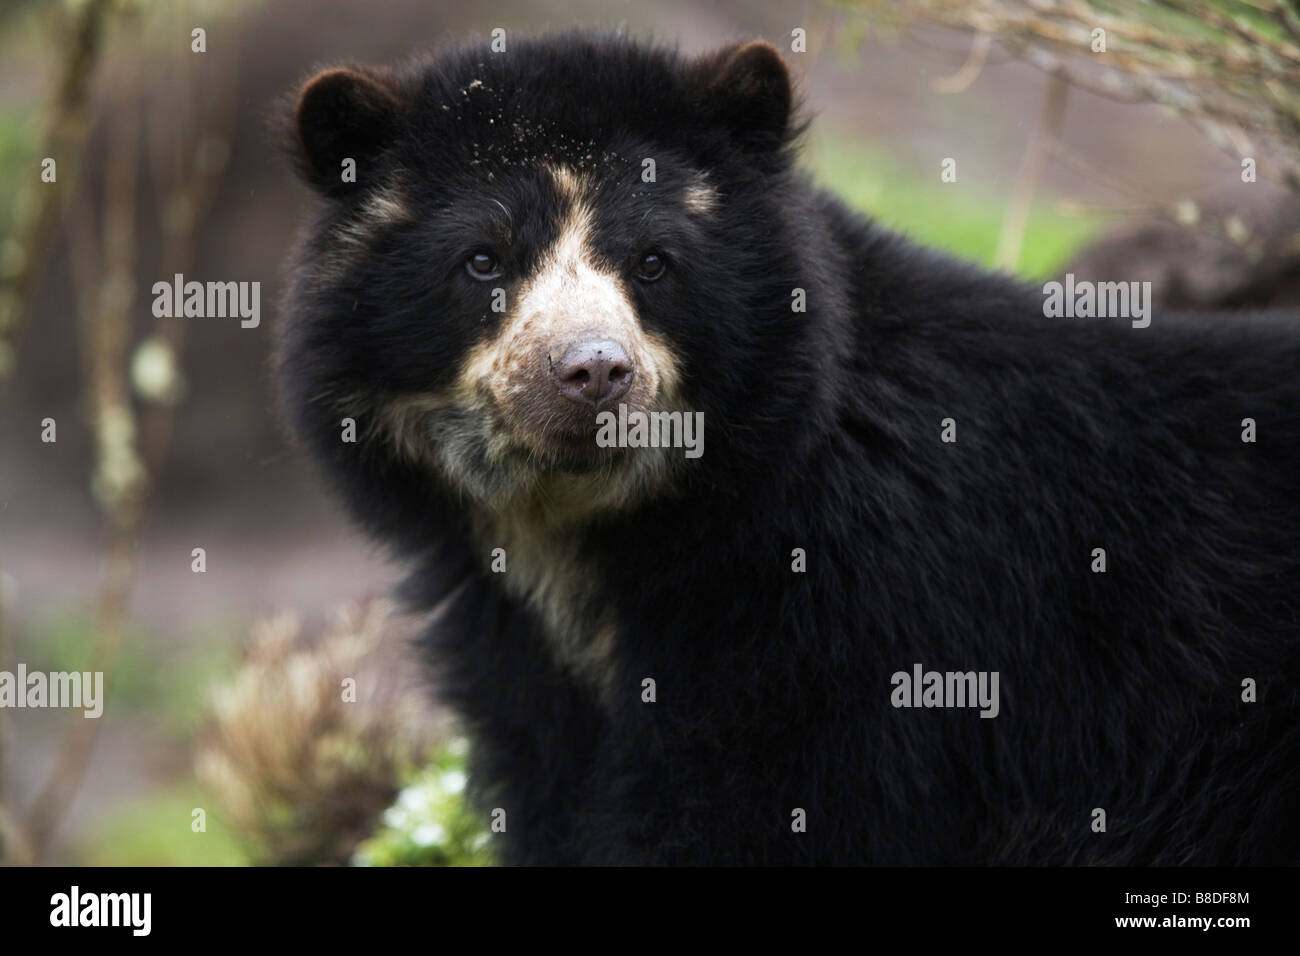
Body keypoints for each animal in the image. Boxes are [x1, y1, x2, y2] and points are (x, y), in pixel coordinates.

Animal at [277, 32, 1300, 865]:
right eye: (484, 261)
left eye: (654, 262)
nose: (596, 373)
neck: (594, 534)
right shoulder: (526, 663)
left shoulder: (855, 624)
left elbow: (766, 816)